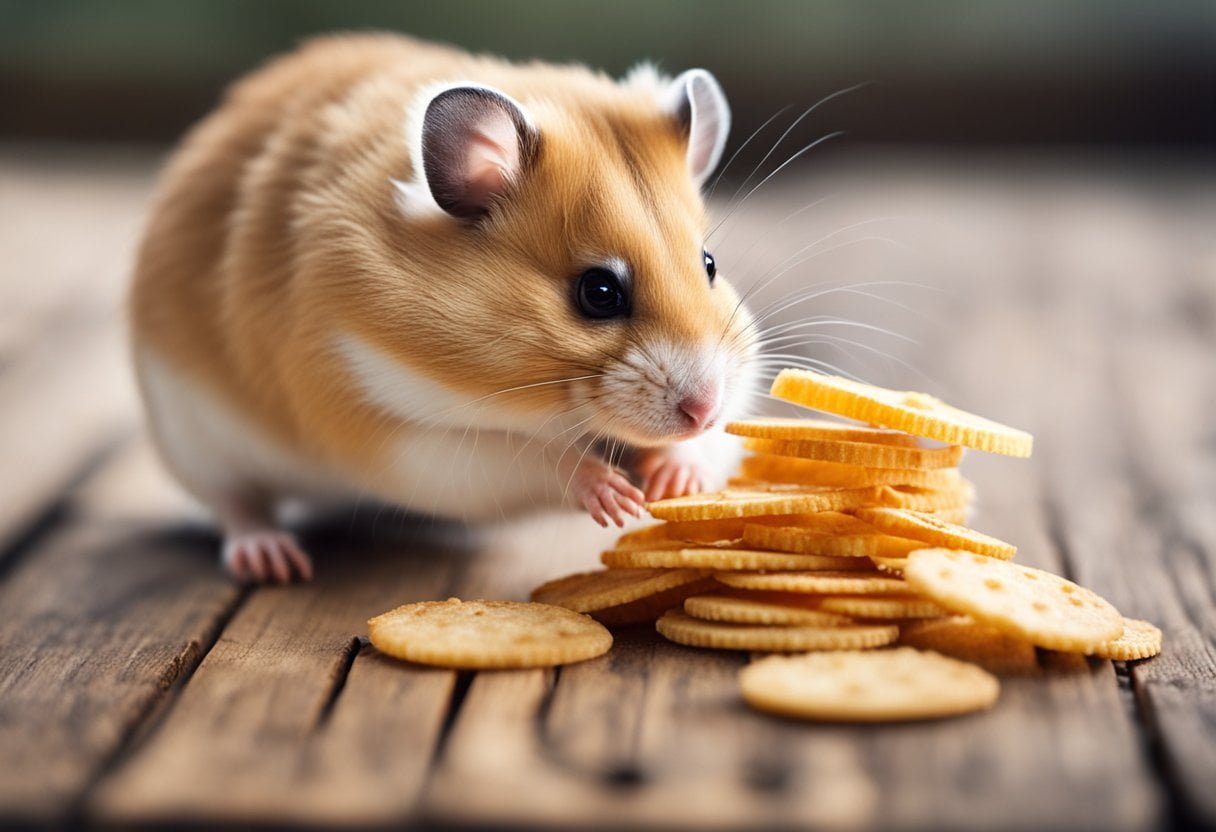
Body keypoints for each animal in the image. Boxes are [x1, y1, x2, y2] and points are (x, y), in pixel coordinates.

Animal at [129, 33, 759, 583]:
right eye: (598, 292)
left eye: (709, 264)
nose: (702, 410)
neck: (549, 412)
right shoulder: (404, 438)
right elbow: (532, 461)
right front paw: (616, 496)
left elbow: (712, 444)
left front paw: (674, 482)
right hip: (191, 439)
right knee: (234, 505)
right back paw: (273, 561)